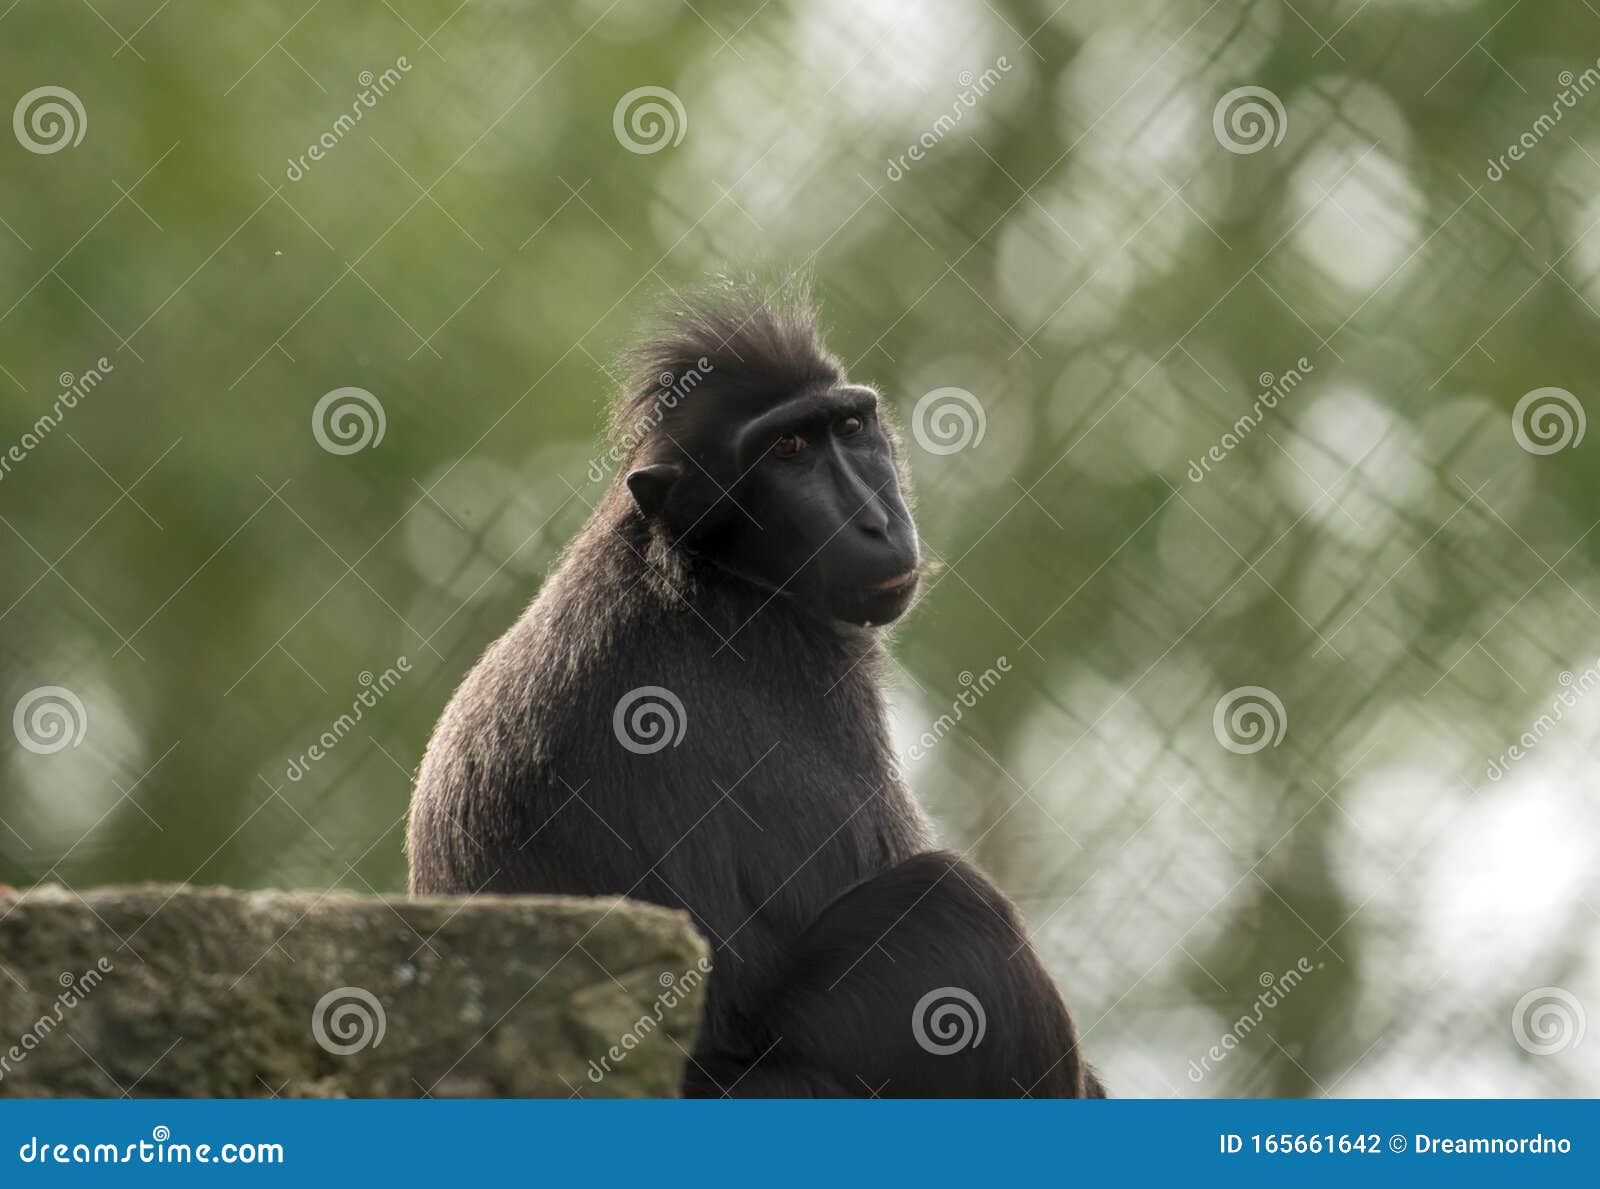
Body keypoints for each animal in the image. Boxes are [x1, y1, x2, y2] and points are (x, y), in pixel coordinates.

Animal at [406, 284, 1100, 1096]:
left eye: (849, 427)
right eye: (787, 452)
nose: (876, 520)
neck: (709, 567)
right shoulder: (811, 660)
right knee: (949, 905)